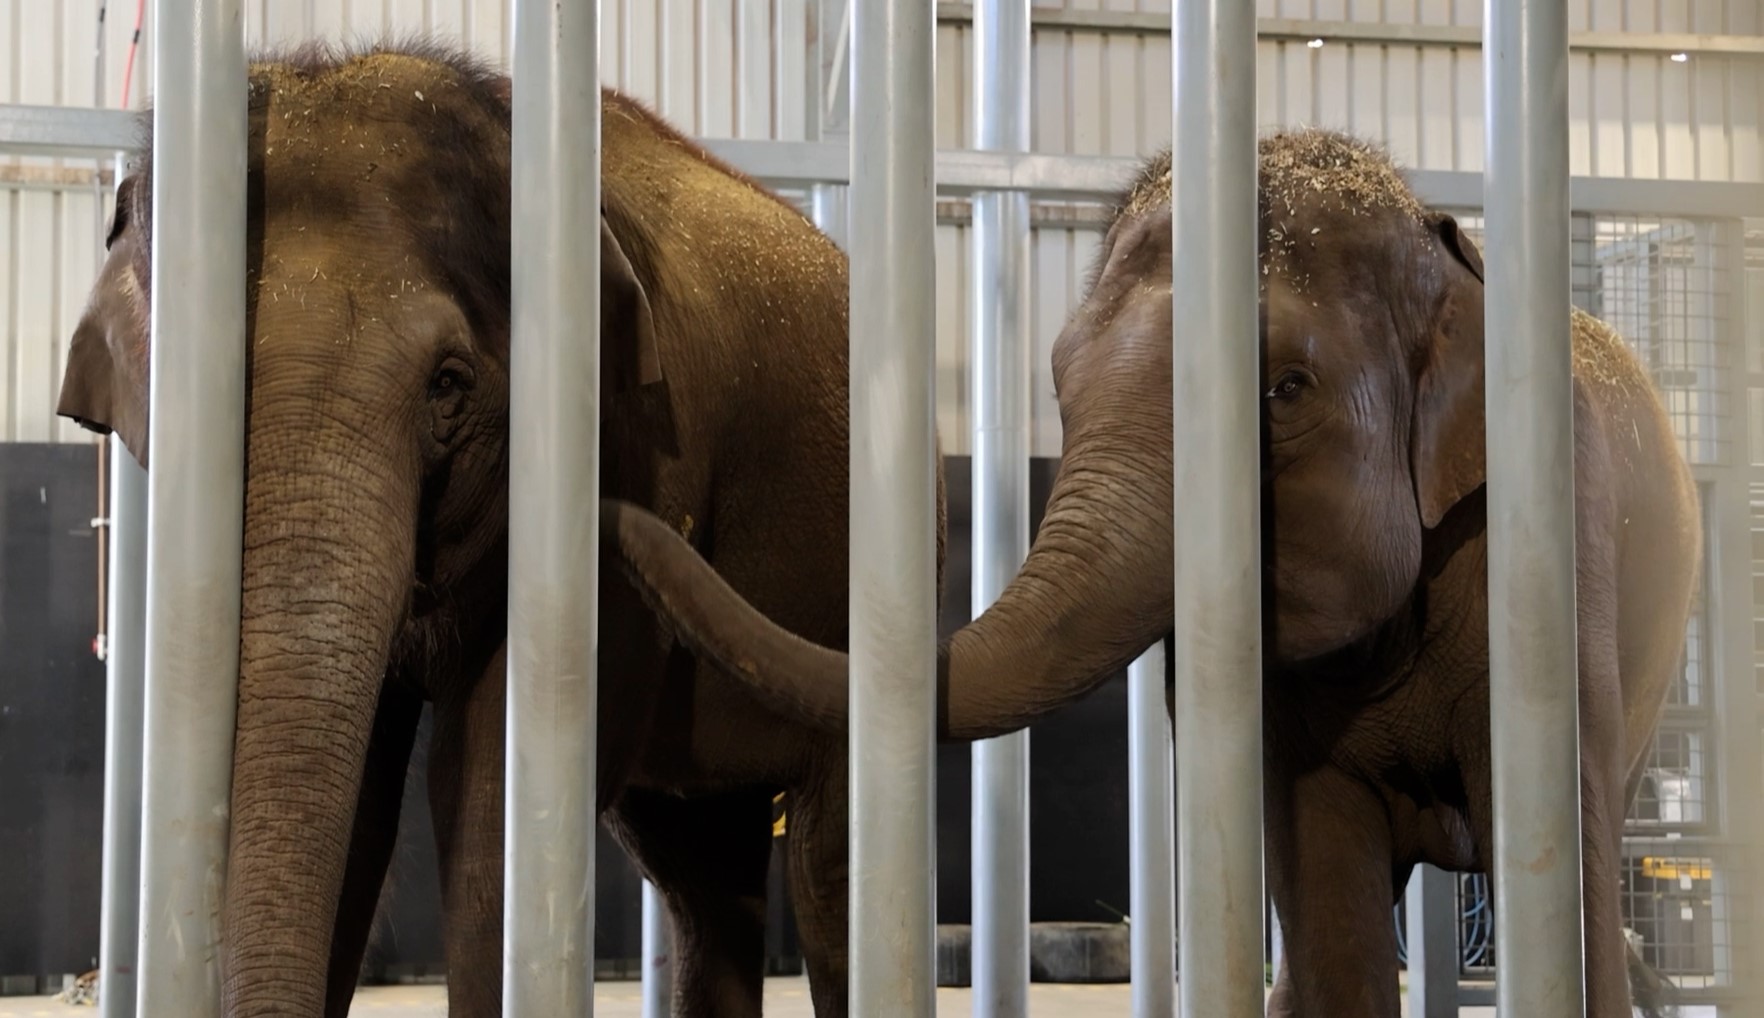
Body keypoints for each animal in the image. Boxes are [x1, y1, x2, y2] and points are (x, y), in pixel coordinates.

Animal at [55, 40, 948, 1018]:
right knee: (704, 873)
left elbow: (482, 790)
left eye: (448, 383)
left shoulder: (634, 452)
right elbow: (355, 802)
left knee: (827, 867)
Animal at [596, 129, 1701, 1018]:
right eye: (1058, 383)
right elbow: (1324, 883)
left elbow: (1566, 864)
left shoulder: (1555, 533)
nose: (628, 519)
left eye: (1284, 388)